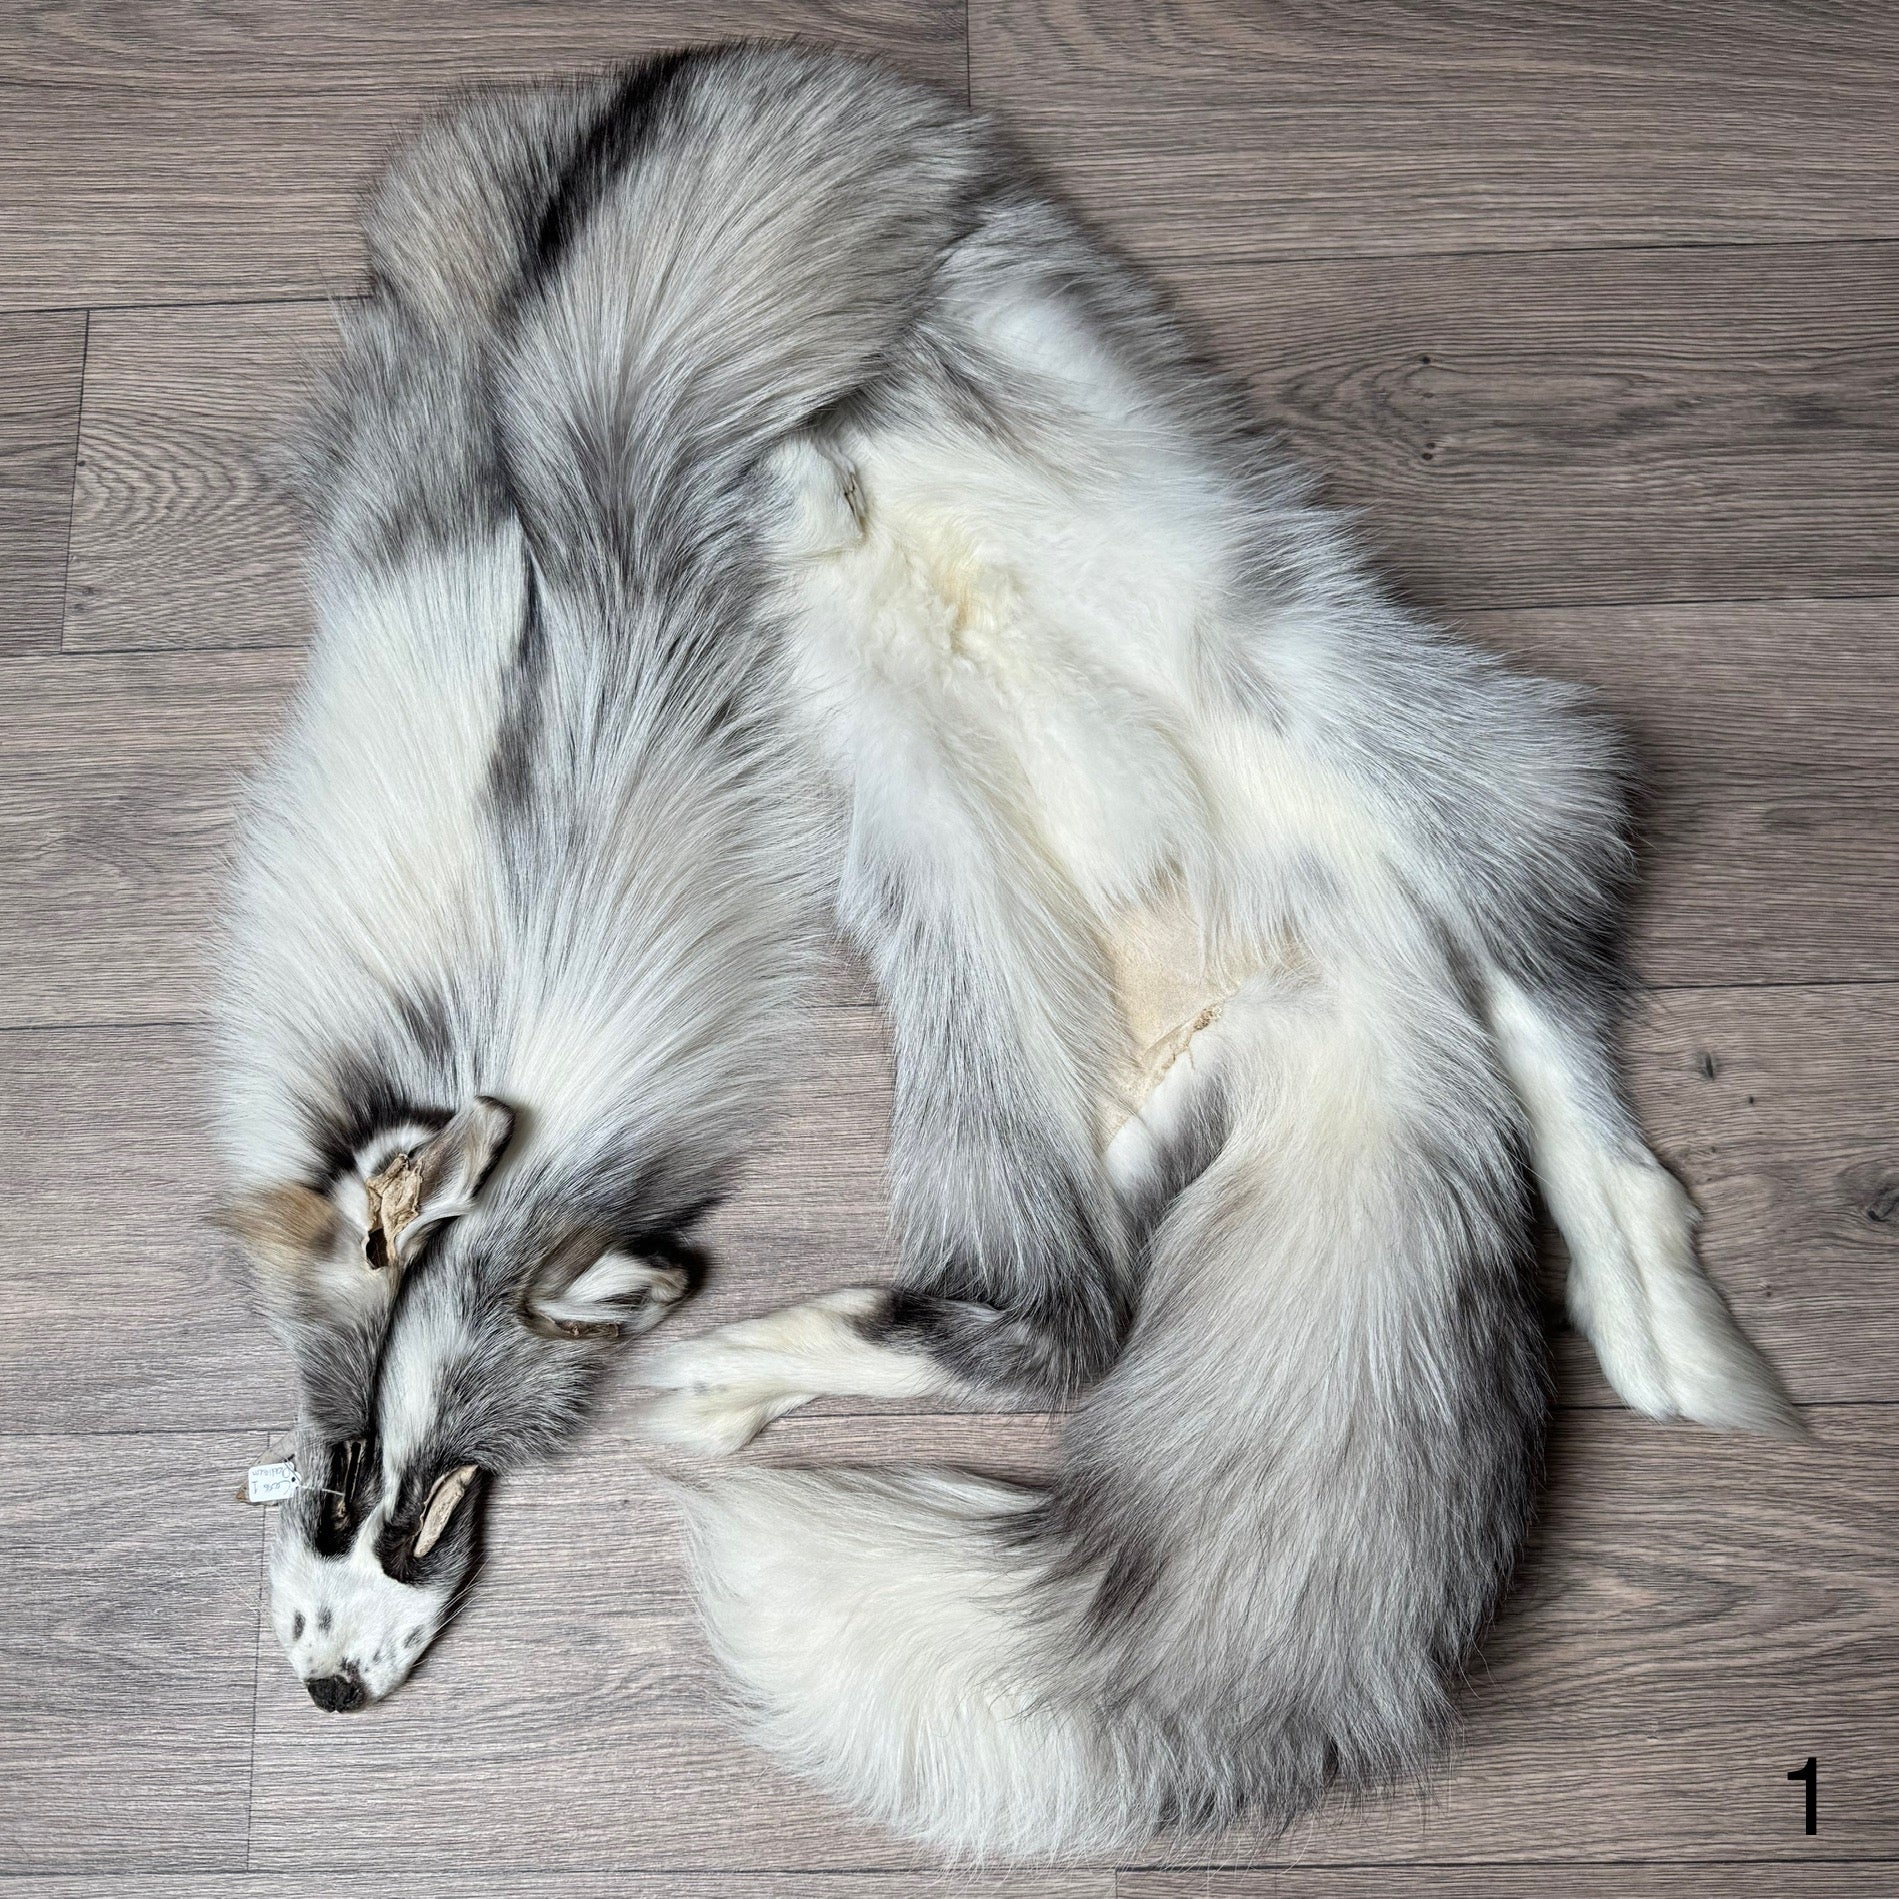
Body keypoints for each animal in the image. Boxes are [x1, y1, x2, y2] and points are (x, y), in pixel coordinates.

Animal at [213, 42, 1798, 1853]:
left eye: (429, 1498)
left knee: (1538, 956)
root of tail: (1322, 955)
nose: (333, 1690)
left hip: (1336, 697)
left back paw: (1637, 1273)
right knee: (1077, 1303)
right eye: (342, 1474)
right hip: (978, 981)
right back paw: (761, 1363)